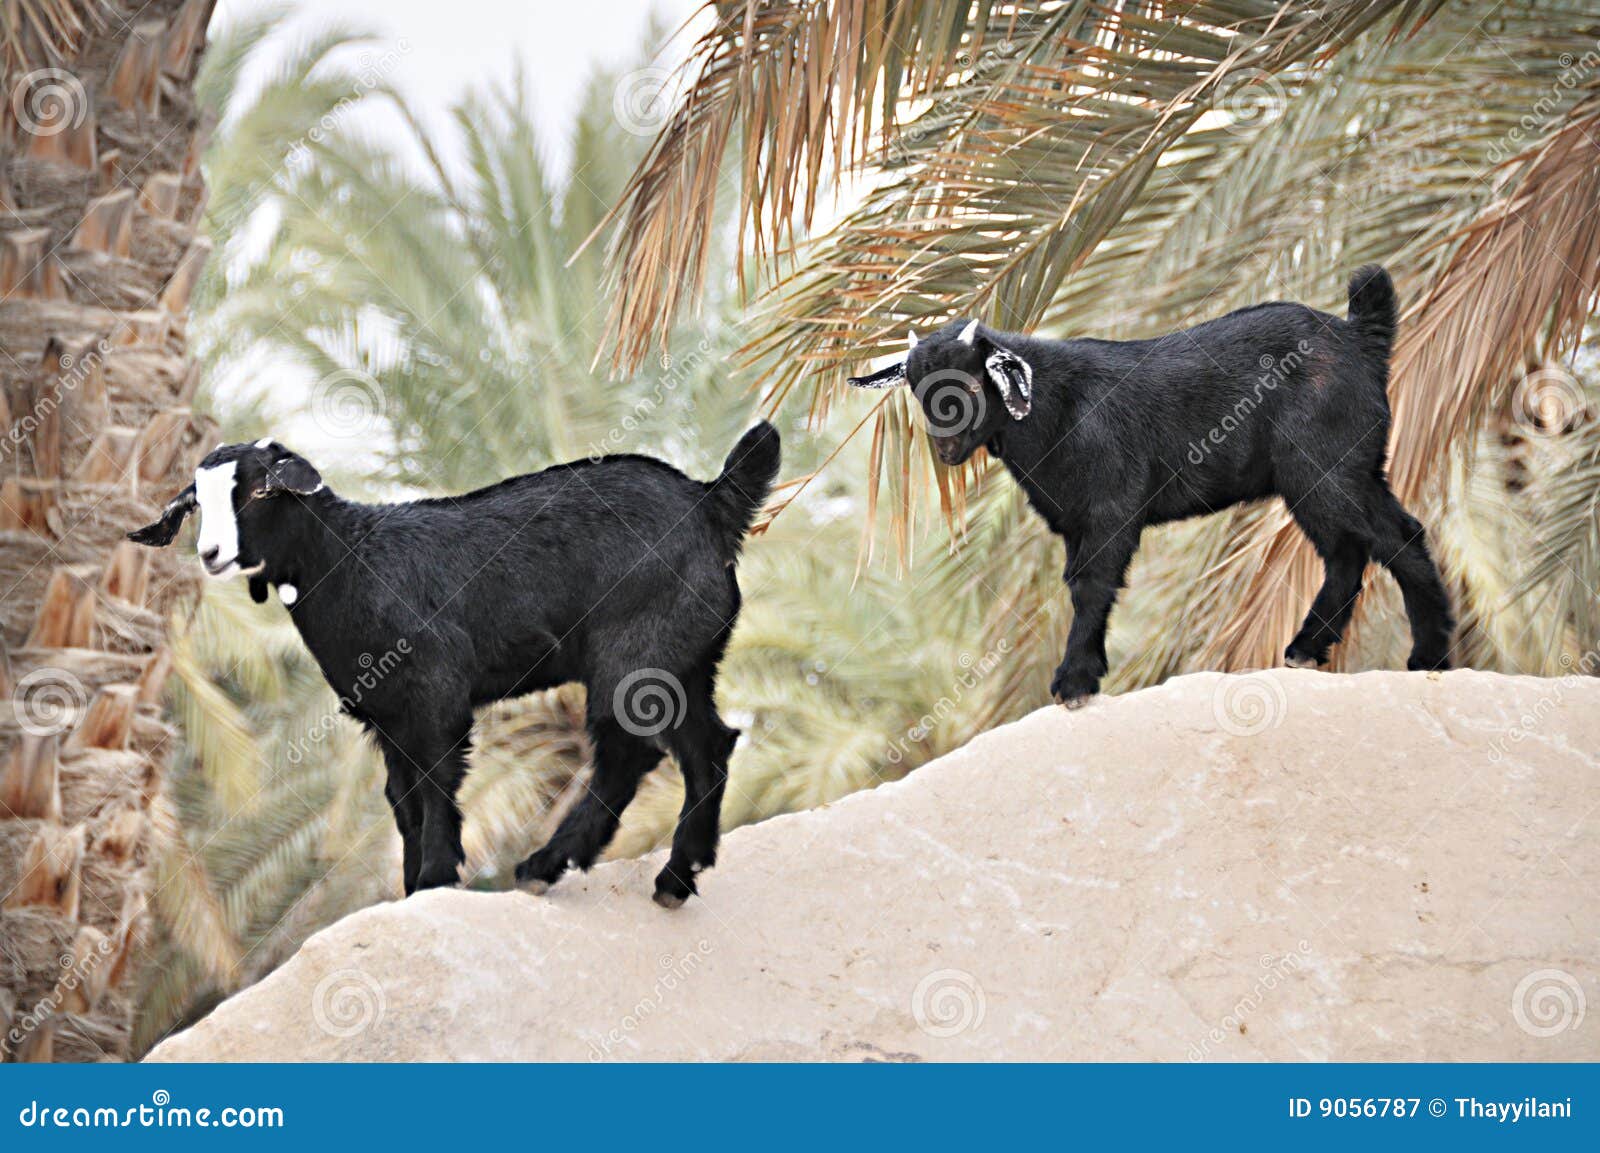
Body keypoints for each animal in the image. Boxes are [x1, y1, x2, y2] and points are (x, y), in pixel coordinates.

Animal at [129, 424, 782, 908]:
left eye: (262, 491)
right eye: (197, 504)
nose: (211, 554)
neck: (351, 558)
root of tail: (711, 502)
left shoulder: (433, 693)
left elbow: (434, 781)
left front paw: (436, 878)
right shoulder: (387, 713)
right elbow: (401, 798)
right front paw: (412, 886)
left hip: (635, 653)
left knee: (630, 754)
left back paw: (546, 865)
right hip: (685, 657)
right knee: (708, 746)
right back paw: (676, 877)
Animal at [849, 266, 1453, 706]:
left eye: (975, 382)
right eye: (917, 390)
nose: (947, 451)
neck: (1053, 406)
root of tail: (1360, 338)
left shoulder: (1111, 507)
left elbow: (1091, 585)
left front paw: (1074, 682)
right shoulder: (1076, 519)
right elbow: (1080, 584)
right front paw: (1084, 673)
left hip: (1329, 465)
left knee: (1395, 535)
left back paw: (1430, 657)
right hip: (1331, 475)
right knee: (1347, 552)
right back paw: (1308, 647)